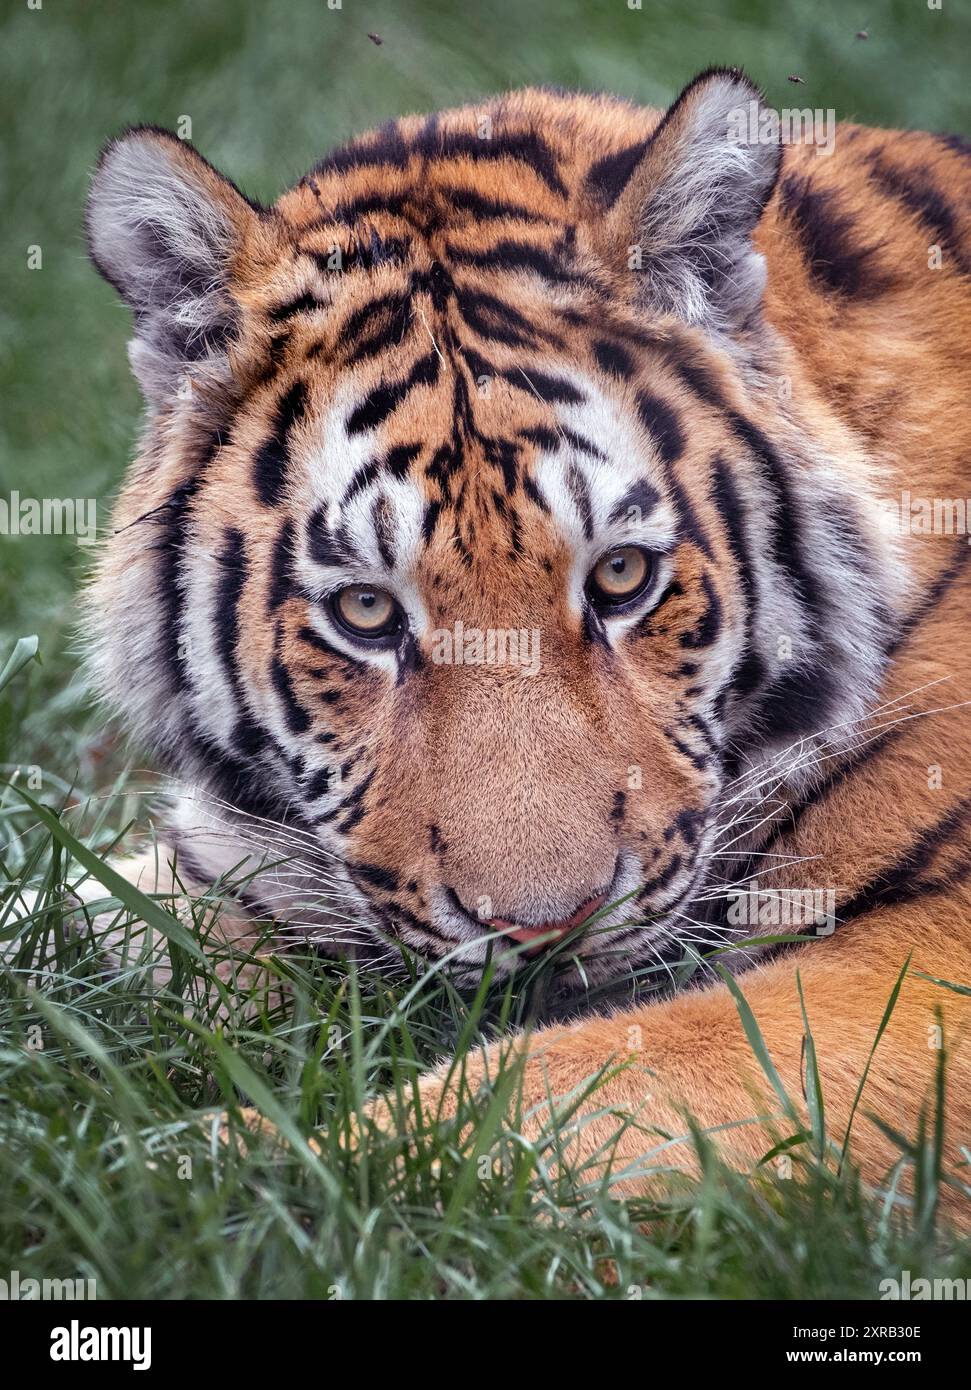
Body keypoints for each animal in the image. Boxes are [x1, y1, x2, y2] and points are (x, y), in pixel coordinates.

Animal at [83, 67, 971, 1208]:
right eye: (365, 611)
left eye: (621, 577)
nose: (545, 931)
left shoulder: (930, 955)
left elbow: (563, 1080)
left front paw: (192, 1176)